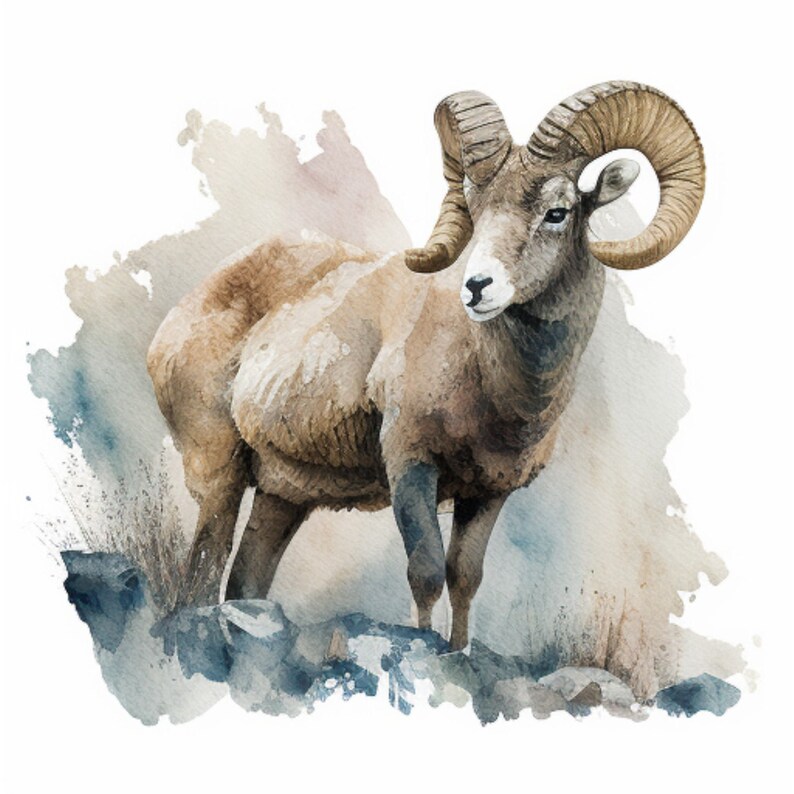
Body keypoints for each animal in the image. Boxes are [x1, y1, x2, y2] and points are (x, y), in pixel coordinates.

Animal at [147, 81, 705, 650]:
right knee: (203, 571)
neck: (492, 379)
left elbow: (464, 577)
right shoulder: (412, 468)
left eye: (557, 211)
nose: (477, 288)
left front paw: (456, 651)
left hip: (282, 498)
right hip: (219, 475)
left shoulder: (488, 494)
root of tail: (185, 310)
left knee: (244, 581)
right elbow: (427, 572)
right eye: (477, 211)